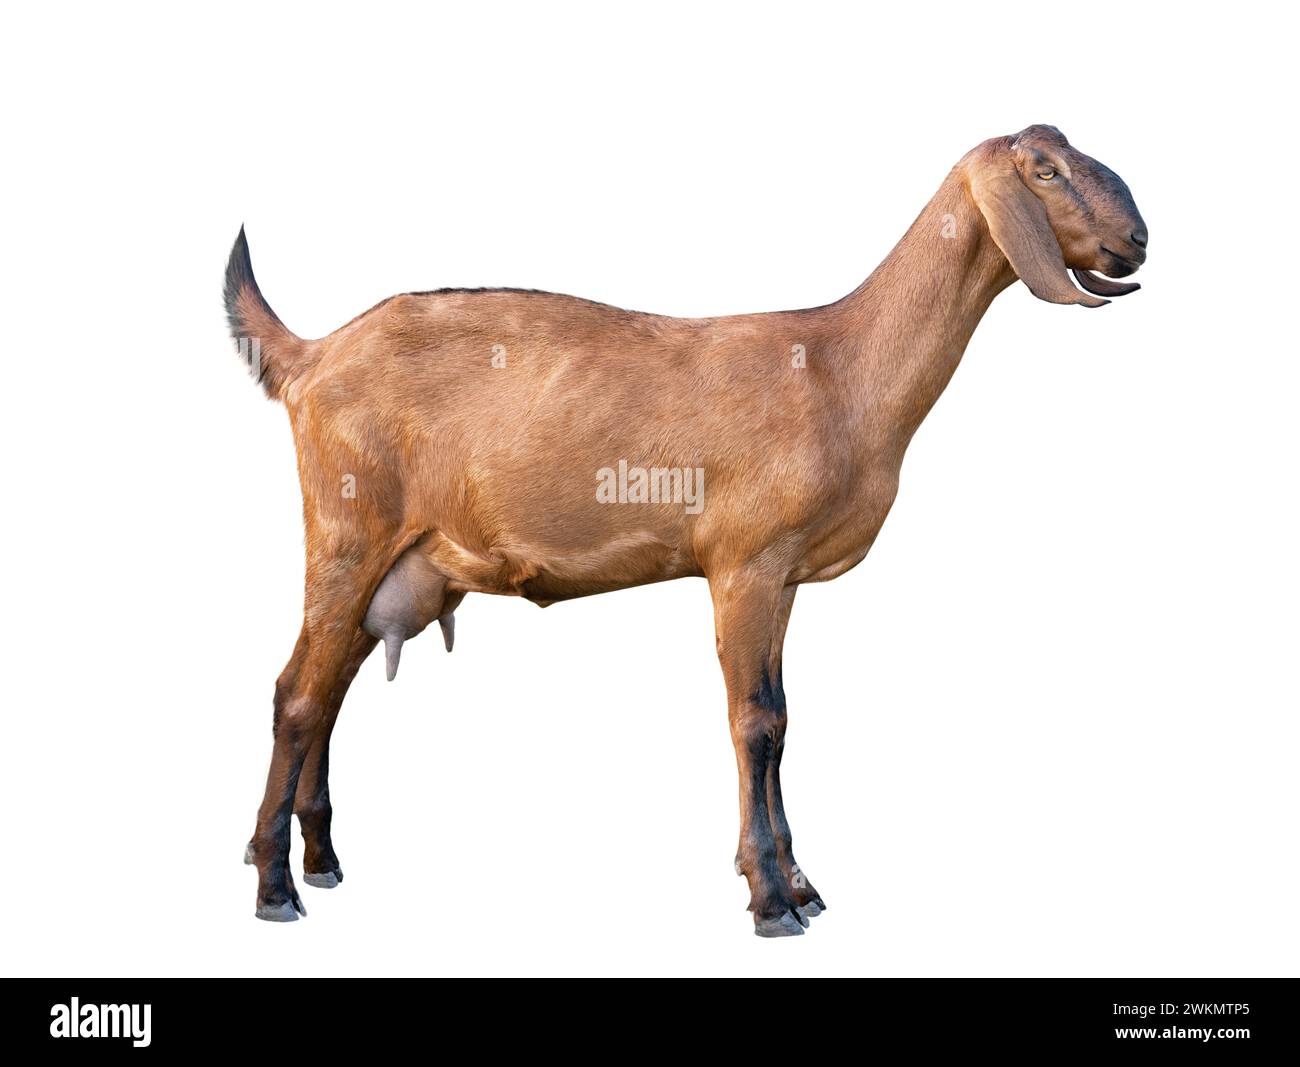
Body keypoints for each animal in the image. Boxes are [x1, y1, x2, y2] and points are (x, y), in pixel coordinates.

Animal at [226, 124, 1146, 934]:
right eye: (1045, 171)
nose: (1135, 241)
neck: (839, 368)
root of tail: (310, 357)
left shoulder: (782, 576)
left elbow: (781, 716)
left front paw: (799, 884)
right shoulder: (745, 562)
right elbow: (756, 720)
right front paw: (772, 899)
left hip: (396, 561)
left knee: (329, 692)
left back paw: (320, 861)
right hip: (347, 528)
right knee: (296, 693)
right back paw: (276, 888)